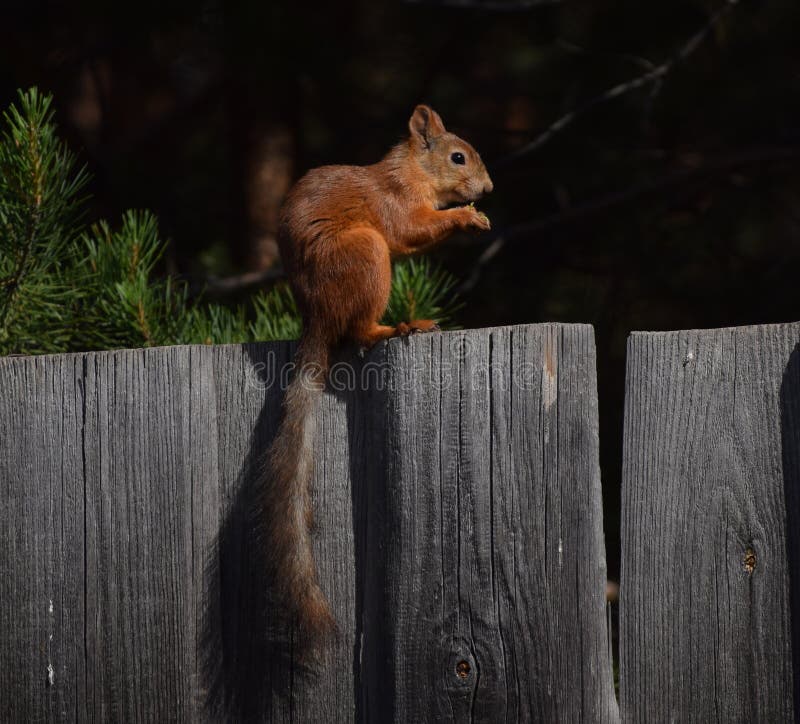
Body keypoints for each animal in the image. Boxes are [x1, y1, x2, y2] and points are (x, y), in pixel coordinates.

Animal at [255, 104, 493, 657]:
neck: (412, 171)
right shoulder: (395, 205)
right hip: (364, 255)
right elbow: (408, 229)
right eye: (458, 157)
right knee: (360, 328)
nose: (488, 188)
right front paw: (467, 217)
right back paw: (400, 326)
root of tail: (316, 319)